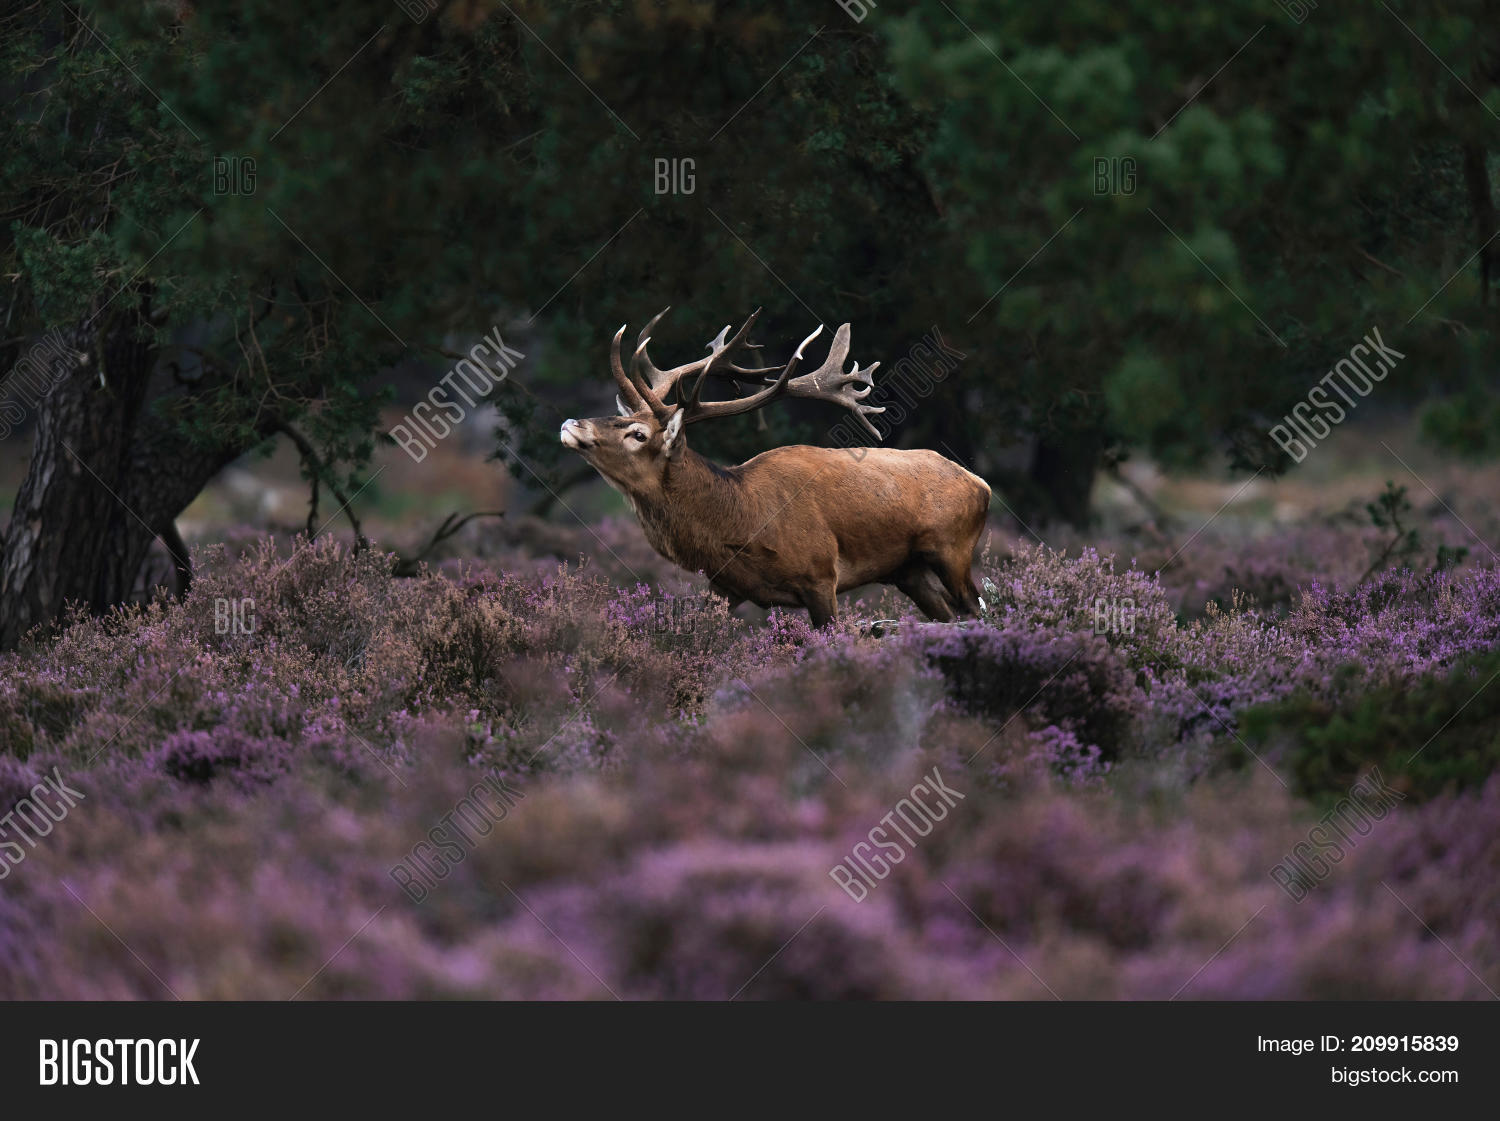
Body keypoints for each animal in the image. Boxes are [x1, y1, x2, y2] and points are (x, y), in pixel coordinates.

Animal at [558, 309, 991, 626]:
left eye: (638, 433)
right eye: (624, 418)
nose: (571, 423)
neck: (743, 521)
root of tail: (980, 483)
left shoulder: (821, 575)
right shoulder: (724, 587)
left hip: (952, 549)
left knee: (977, 608)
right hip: (909, 571)